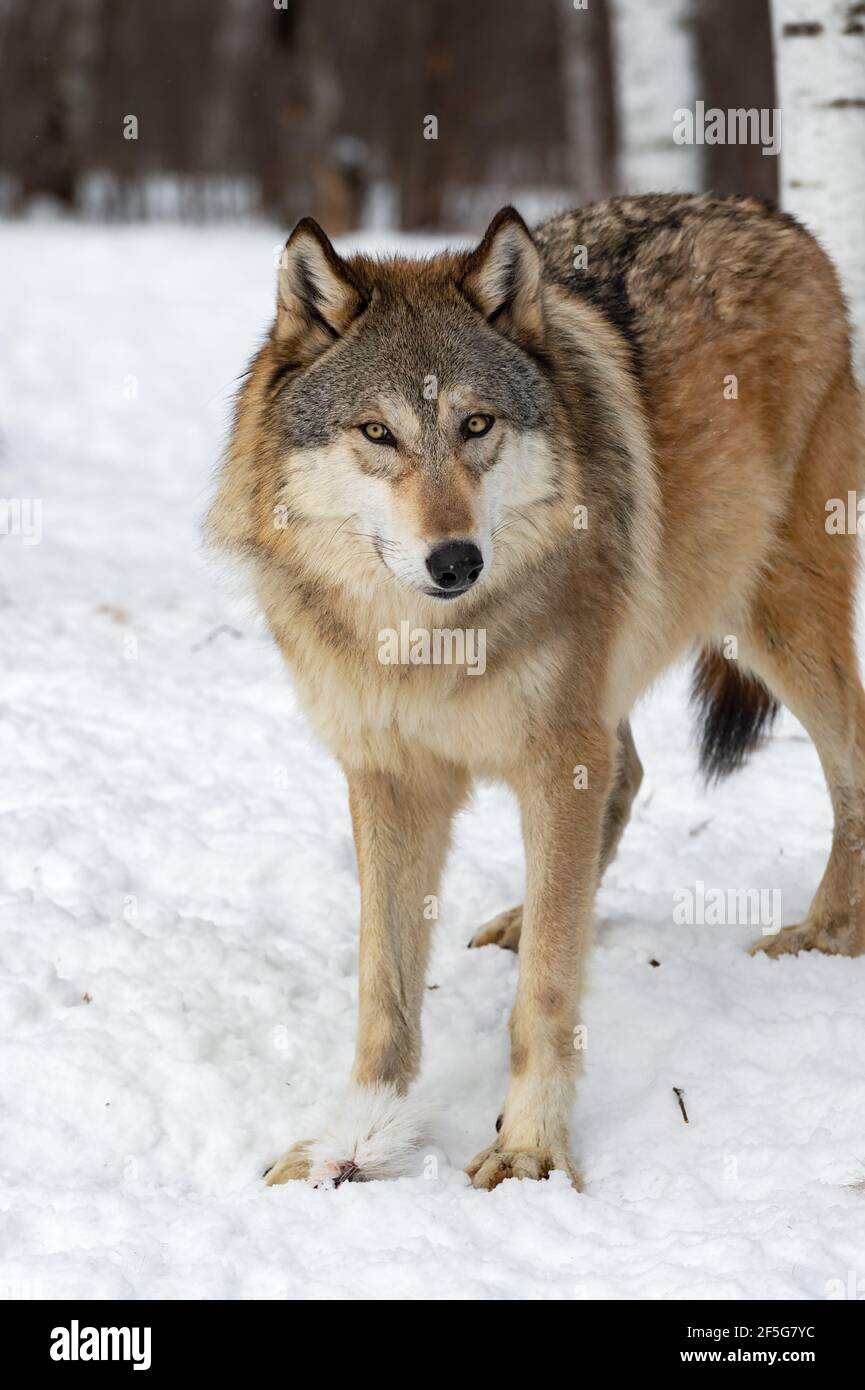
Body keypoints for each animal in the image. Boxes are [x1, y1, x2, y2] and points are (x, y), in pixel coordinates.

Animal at [208, 192, 865, 1190]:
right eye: (376, 433)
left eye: (476, 425)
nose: (455, 560)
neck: (424, 644)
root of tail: (772, 215)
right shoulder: (388, 776)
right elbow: (383, 992)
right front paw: (354, 1141)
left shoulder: (556, 757)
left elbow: (545, 997)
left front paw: (528, 1149)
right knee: (628, 778)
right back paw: (532, 915)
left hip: (776, 623)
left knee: (848, 761)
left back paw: (826, 935)